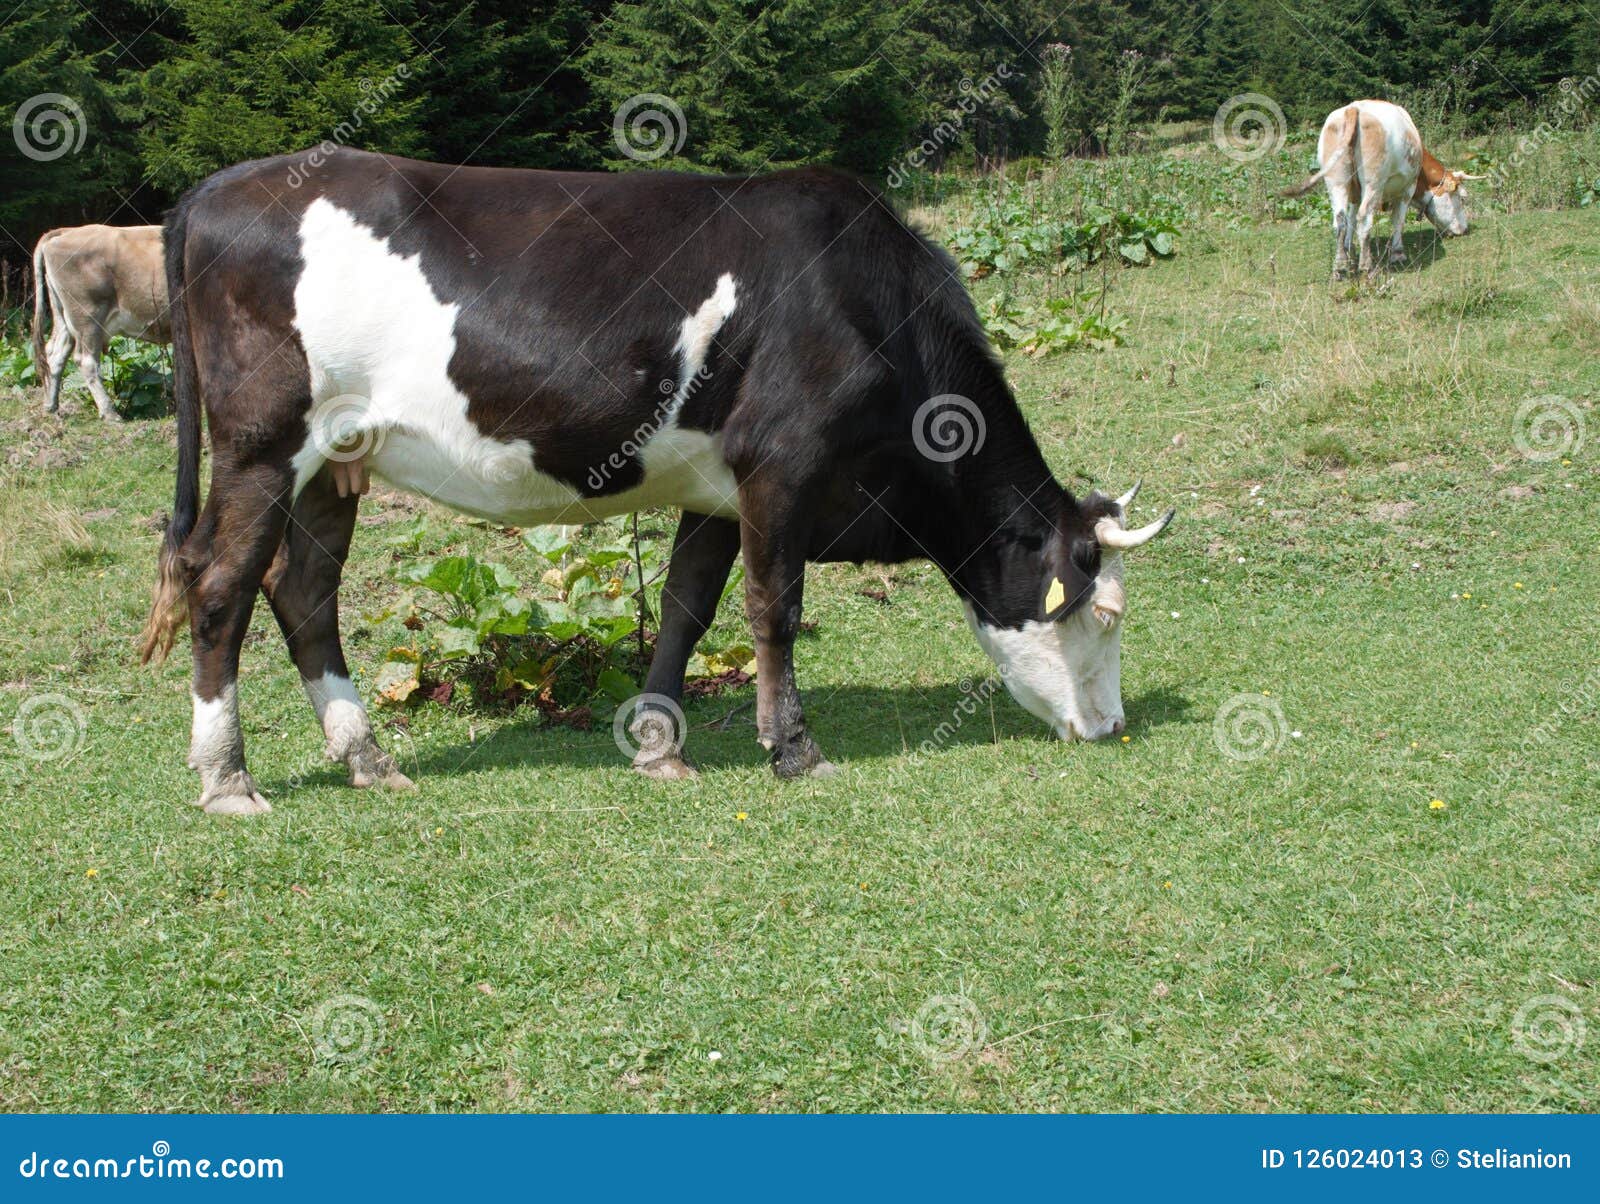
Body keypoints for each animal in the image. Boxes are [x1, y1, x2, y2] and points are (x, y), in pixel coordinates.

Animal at [31, 224, 170, 419]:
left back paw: (51, 406)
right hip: (87, 317)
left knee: (55, 354)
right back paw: (109, 413)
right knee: (86, 361)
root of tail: (67, 231)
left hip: (64, 318)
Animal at [139, 147, 1173, 814]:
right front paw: (793, 749)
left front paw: (656, 746)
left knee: (304, 591)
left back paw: (366, 757)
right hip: (264, 443)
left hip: (335, 458)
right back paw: (227, 778)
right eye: (1105, 614)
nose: (1113, 727)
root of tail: (218, 186)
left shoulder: (716, 485)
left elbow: (686, 607)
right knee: (223, 585)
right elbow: (772, 609)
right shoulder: (782, 466)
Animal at [1283, 99, 1483, 279]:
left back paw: (1339, 268)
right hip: (1374, 182)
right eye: (1462, 198)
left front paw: (1349, 250)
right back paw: (1367, 267)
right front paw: (1397, 253)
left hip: (1335, 180)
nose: (1465, 230)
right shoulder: (1407, 189)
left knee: (1340, 220)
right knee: (1364, 217)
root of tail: (1353, 108)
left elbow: (1350, 218)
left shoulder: (1355, 194)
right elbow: (1398, 220)